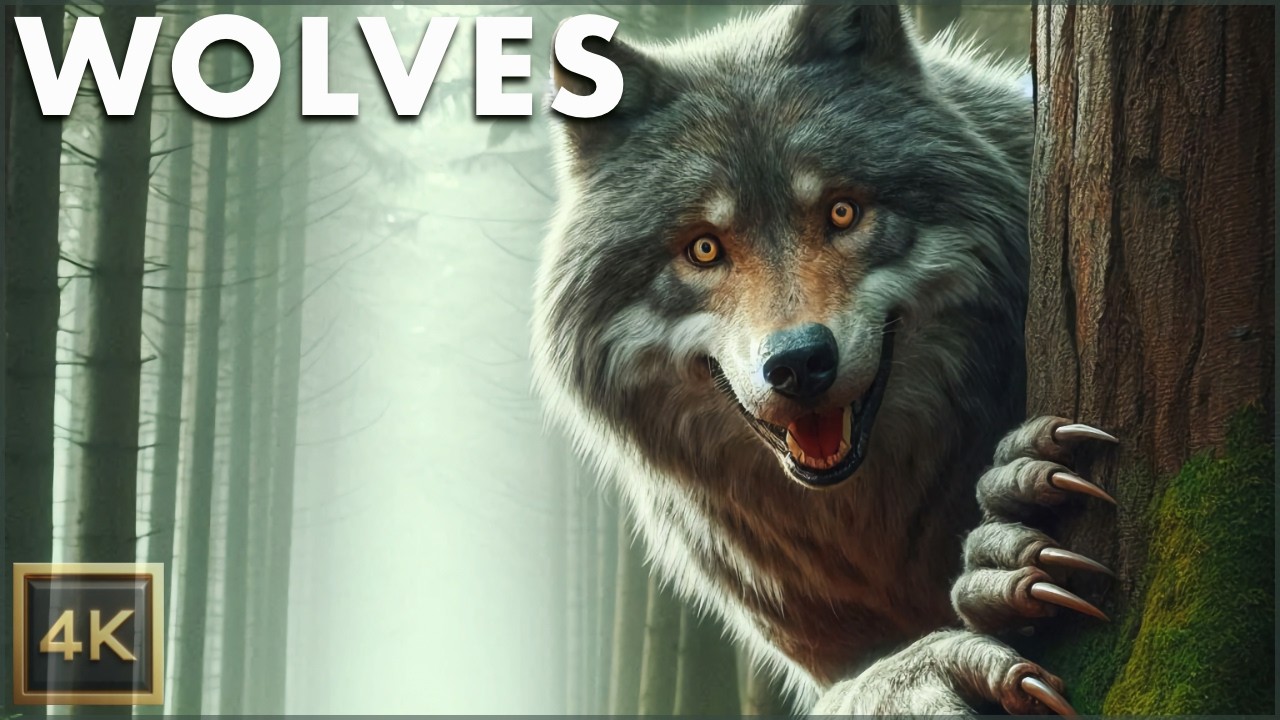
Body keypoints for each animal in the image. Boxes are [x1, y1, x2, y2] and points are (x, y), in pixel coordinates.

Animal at [533, 3, 1117, 714]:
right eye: (704, 248)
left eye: (842, 211)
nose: (799, 363)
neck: (878, 524)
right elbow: (847, 690)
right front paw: (923, 667)